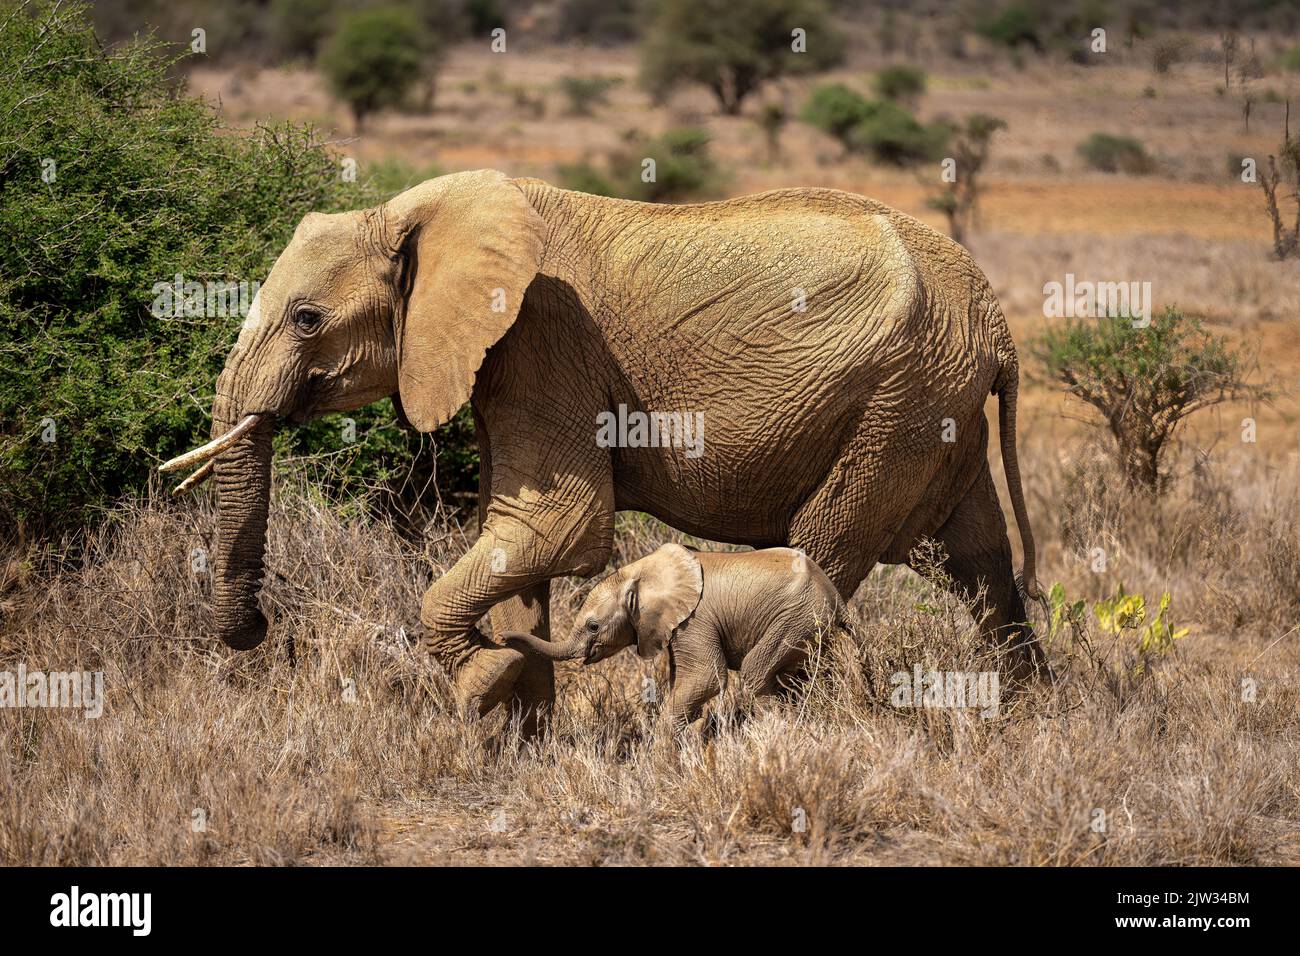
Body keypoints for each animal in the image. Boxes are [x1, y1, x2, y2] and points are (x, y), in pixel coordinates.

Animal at [504, 544, 849, 728]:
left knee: (755, 671)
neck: (640, 572)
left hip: (797, 617)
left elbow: (706, 677)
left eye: (593, 626)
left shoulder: (694, 620)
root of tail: (834, 595)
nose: (504, 638)